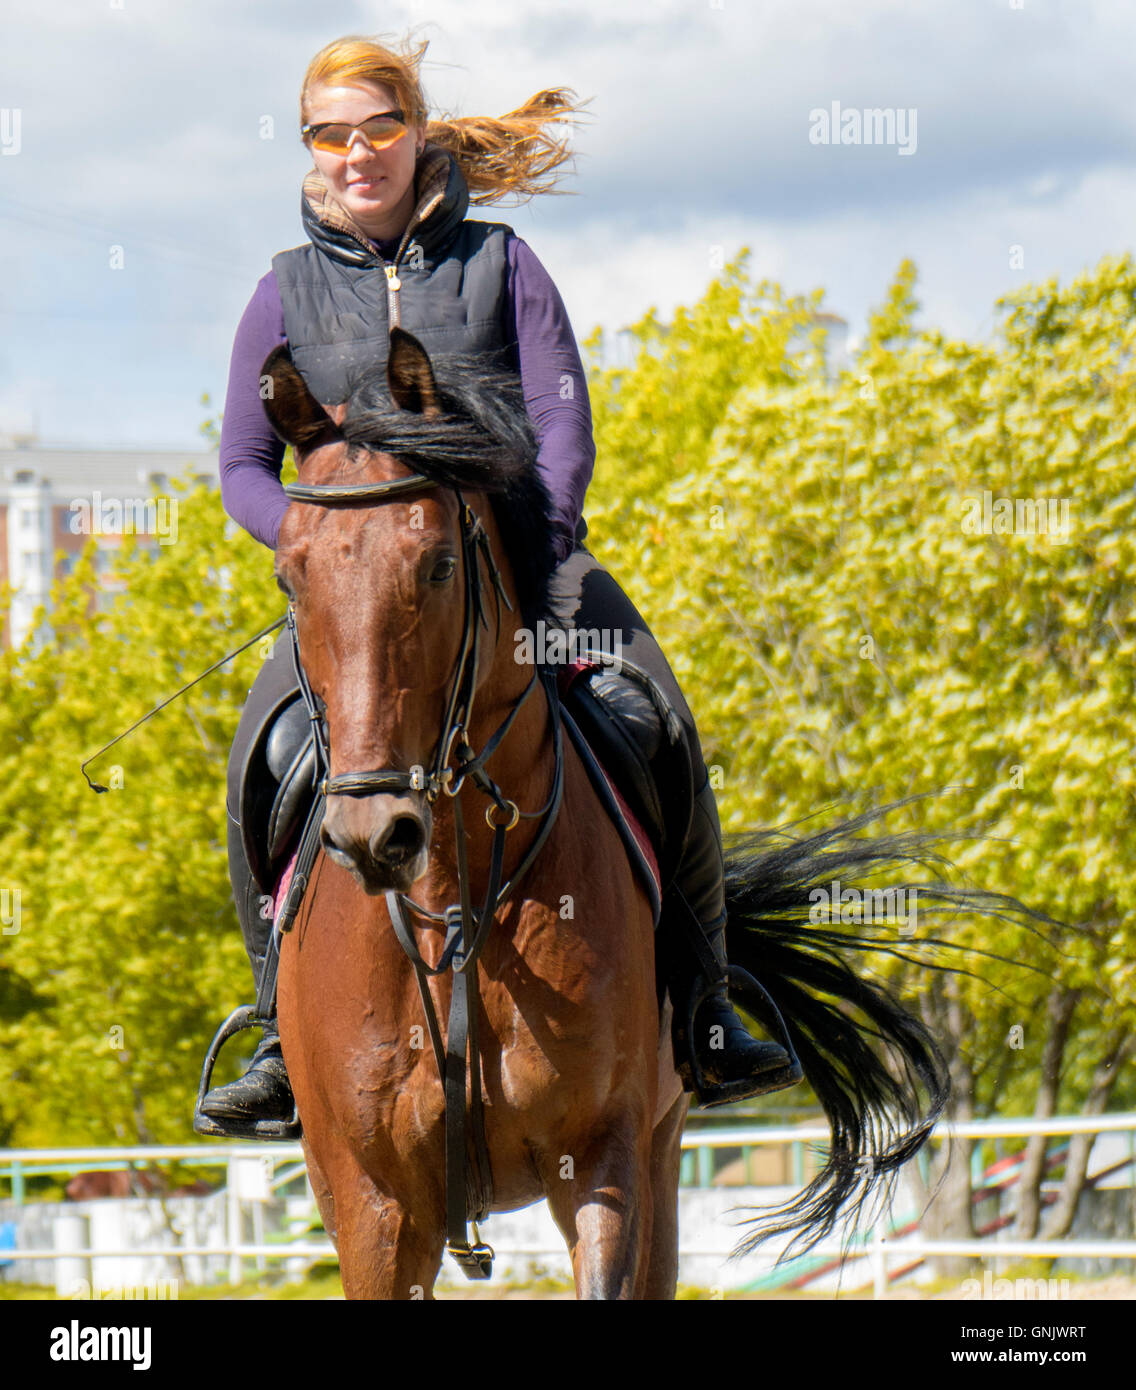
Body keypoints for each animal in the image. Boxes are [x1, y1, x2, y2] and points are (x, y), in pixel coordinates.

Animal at [259, 328, 967, 1300]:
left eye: (438, 564)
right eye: (291, 578)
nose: (373, 836)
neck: (456, 895)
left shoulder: (605, 1158)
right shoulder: (369, 1203)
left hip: (665, 1151)